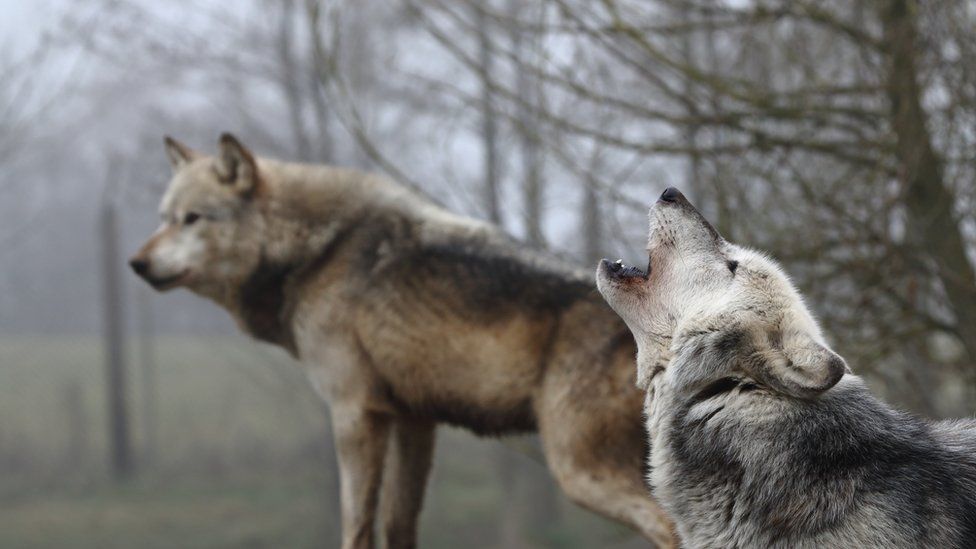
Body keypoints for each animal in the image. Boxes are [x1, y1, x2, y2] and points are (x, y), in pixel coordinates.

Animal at [128, 134, 675, 549]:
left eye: (192, 218)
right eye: (163, 217)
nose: (136, 262)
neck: (318, 251)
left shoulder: (354, 412)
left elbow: (355, 525)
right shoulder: (415, 419)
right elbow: (398, 526)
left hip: (576, 470)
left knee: (669, 529)